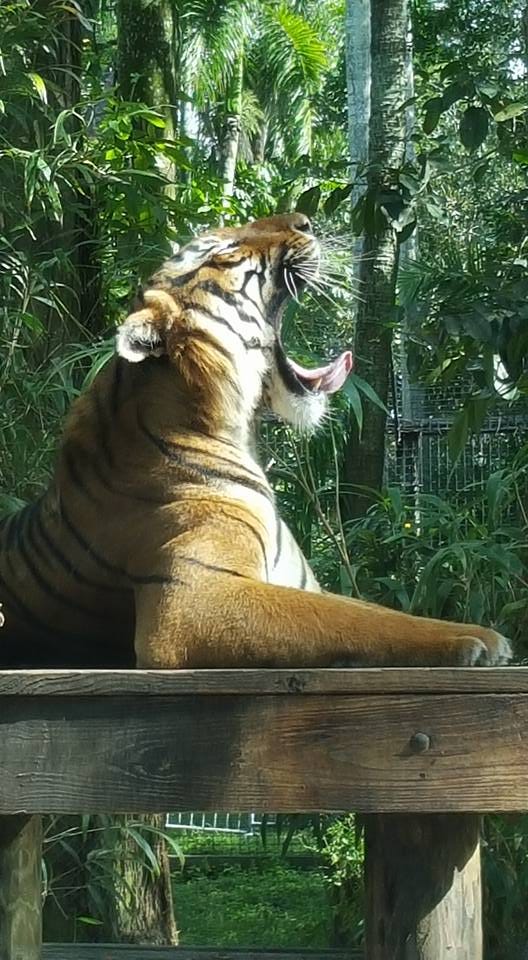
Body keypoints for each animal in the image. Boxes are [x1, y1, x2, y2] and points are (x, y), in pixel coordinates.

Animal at [0, 212, 512, 670]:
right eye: (223, 249)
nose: (305, 221)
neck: (230, 424)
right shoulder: (191, 602)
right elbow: (354, 621)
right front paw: (477, 639)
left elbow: (368, 608)